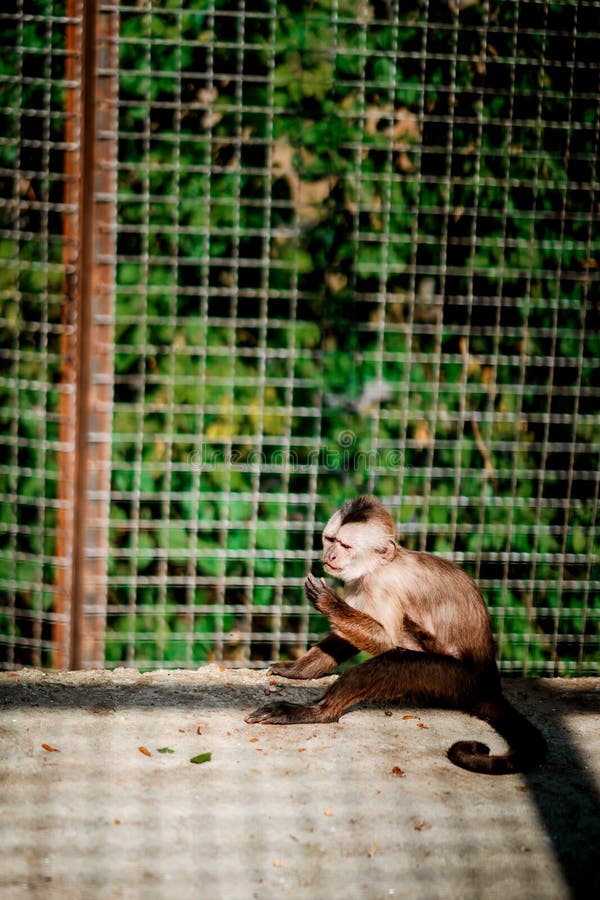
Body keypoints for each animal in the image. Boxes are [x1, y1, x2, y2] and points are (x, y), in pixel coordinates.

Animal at [245, 495, 546, 775]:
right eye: (329, 540)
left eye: (345, 546)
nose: (329, 556)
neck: (382, 564)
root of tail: (490, 683)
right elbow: (345, 638)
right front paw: (297, 669)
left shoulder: (381, 584)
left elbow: (386, 640)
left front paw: (330, 604)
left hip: (455, 680)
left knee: (394, 660)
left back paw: (319, 712)